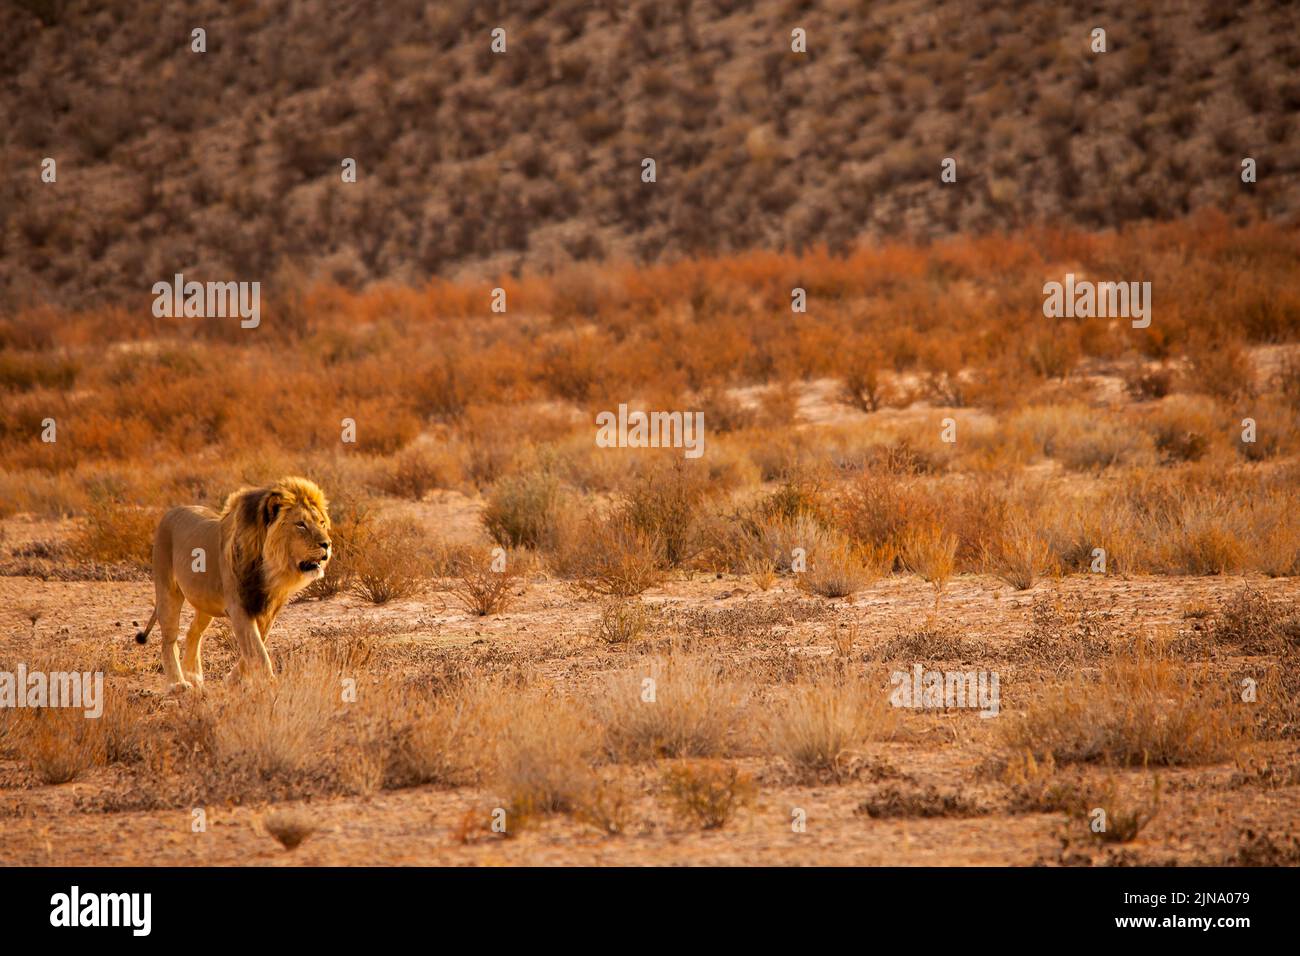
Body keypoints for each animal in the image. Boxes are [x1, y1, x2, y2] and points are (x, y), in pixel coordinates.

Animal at [135, 476, 332, 692]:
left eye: (321, 523)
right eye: (300, 524)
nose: (327, 544)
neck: (271, 571)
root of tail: (170, 512)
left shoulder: (267, 610)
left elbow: (255, 646)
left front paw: (233, 680)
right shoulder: (240, 607)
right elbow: (258, 651)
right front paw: (271, 685)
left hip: (205, 602)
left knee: (193, 631)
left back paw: (193, 675)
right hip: (168, 592)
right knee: (169, 640)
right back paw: (178, 683)